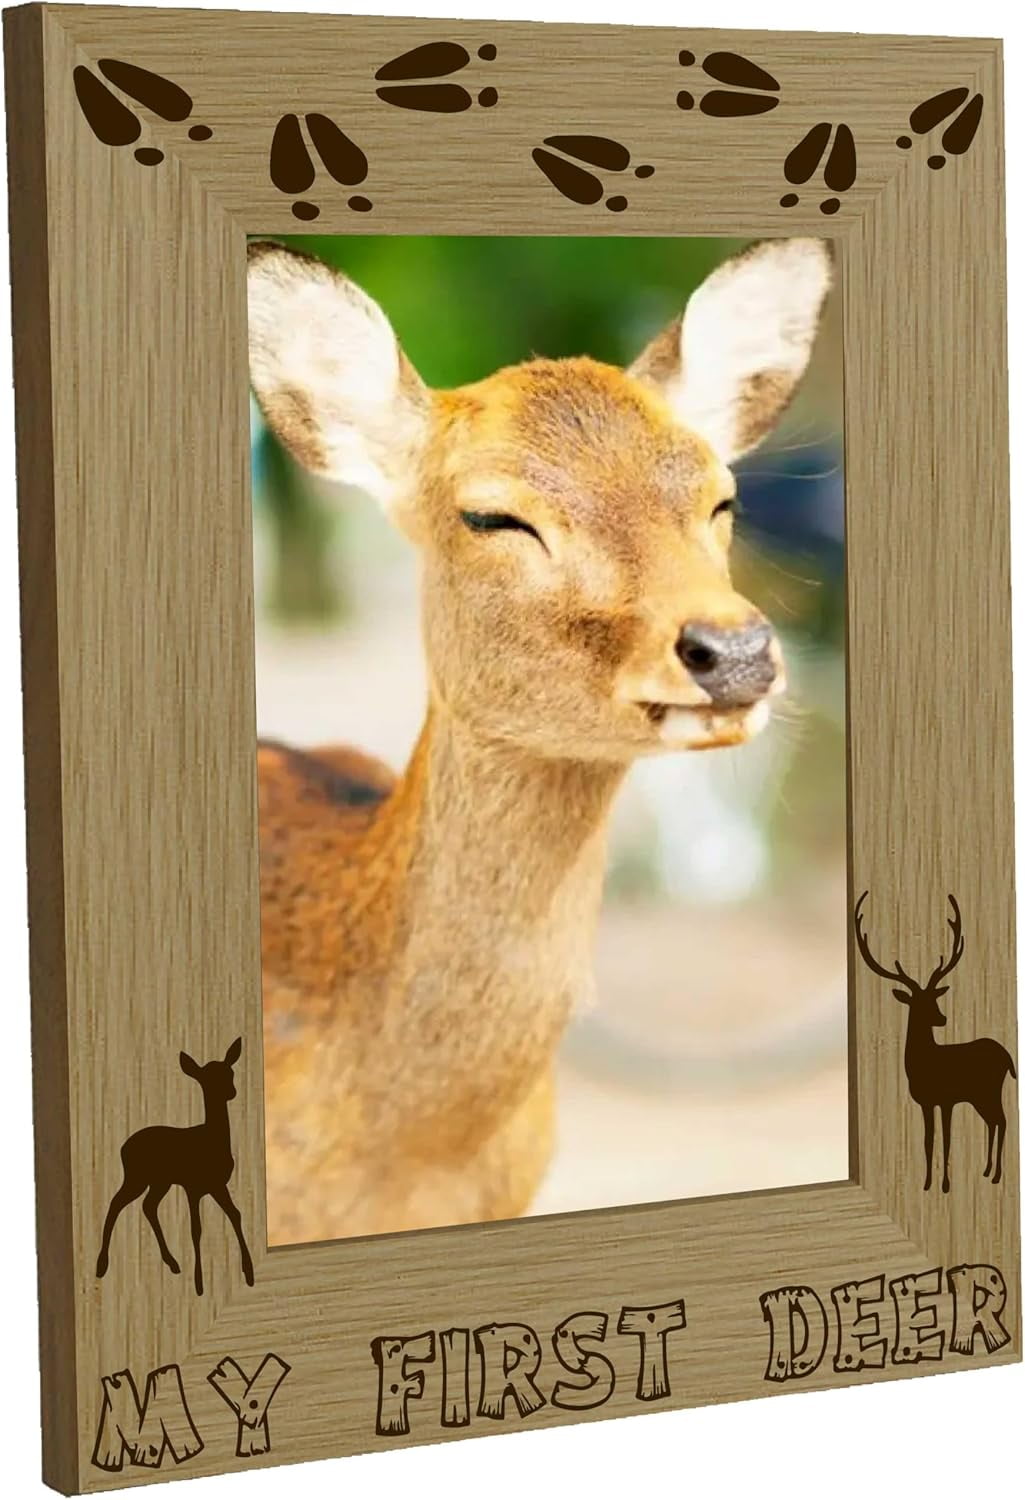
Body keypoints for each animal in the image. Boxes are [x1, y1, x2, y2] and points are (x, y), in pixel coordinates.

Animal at [96, 1038, 254, 1294]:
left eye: (230, 1072)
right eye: (206, 1080)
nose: (231, 1092)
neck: (212, 1141)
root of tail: (123, 1147)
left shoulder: (218, 1185)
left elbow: (236, 1215)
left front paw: (248, 1272)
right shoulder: (193, 1187)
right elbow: (195, 1229)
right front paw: (199, 1283)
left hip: (160, 1181)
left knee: (148, 1206)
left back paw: (172, 1262)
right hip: (136, 1177)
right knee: (116, 1203)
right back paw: (102, 1265)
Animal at [853, 891, 1016, 1192]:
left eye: (934, 999)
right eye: (918, 1003)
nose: (942, 1018)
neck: (924, 1064)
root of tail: (1009, 1058)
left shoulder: (947, 1099)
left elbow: (947, 1140)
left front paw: (945, 1185)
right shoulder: (926, 1102)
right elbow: (928, 1142)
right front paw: (928, 1183)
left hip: (989, 1091)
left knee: (1002, 1120)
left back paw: (996, 1174)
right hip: (979, 1097)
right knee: (993, 1121)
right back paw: (987, 1171)